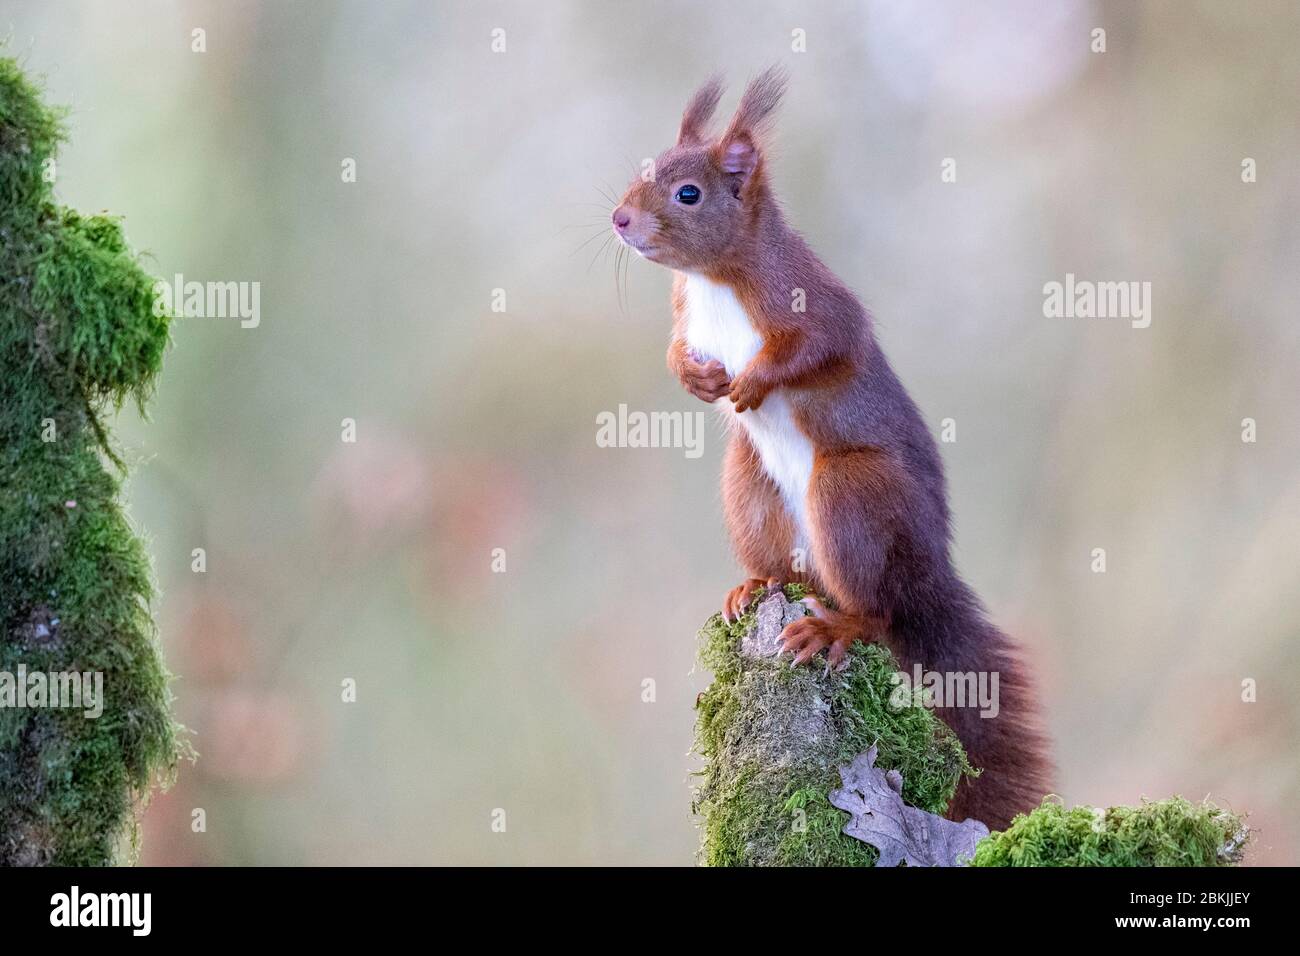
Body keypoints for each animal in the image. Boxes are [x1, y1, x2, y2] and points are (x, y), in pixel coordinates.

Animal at [611, 68, 1051, 830]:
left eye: (688, 193)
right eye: (645, 170)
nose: (618, 219)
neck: (714, 279)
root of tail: (926, 571)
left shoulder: (812, 301)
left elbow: (820, 348)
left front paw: (752, 382)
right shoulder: (683, 316)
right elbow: (673, 353)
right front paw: (698, 379)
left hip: (850, 490)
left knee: (877, 614)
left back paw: (836, 627)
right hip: (750, 486)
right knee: (788, 569)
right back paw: (758, 585)